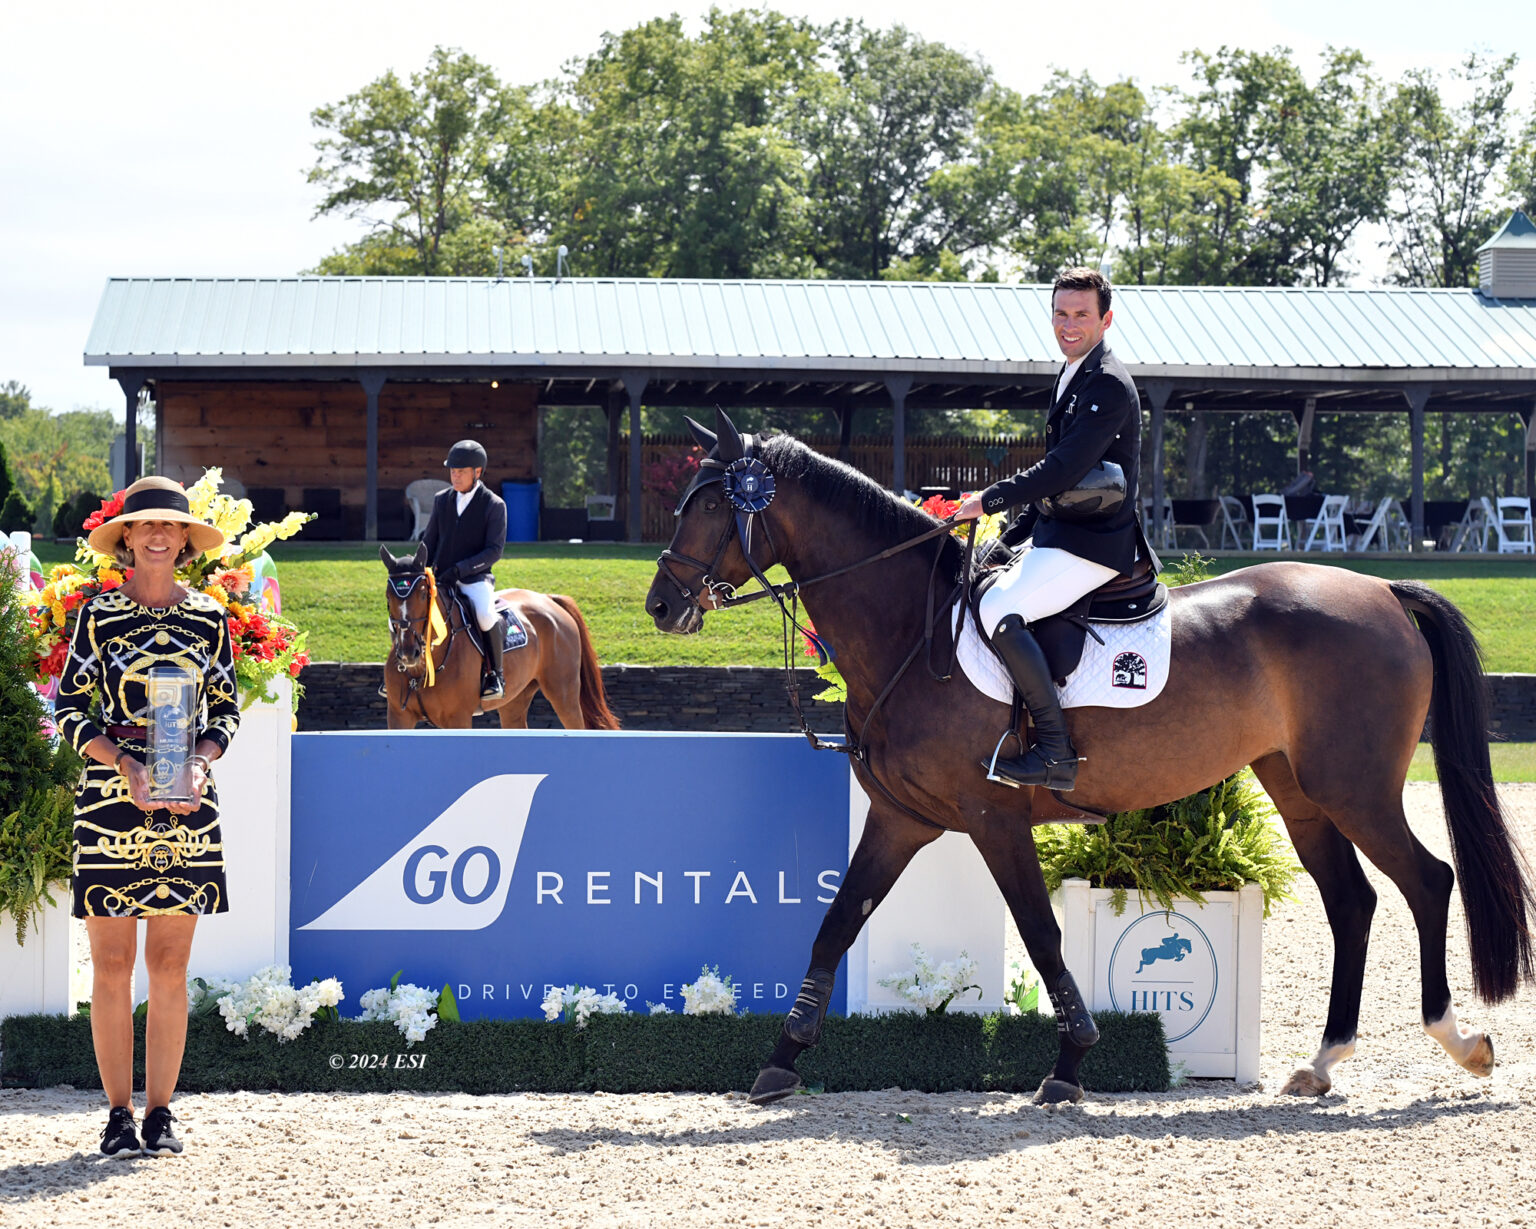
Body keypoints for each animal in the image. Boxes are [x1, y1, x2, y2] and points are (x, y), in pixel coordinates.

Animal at [380, 543, 619, 731]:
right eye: (388, 596)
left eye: (423, 594)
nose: (408, 653)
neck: (422, 668)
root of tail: (548, 599)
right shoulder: (399, 717)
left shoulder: (458, 718)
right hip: (515, 699)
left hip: (564, 694)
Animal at [645, 409, 1535, 1106]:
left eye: (712, 504)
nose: (661, 604)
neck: (912, 632)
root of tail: (1382, 590)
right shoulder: (901, 819)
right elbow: (835, 924)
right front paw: (780, 1061)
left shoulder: (993, 816)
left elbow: (1042, 935)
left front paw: (1070, 1066)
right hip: (1298, 787)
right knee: (1351, 898)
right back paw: (1322, 1062)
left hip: (1356, 786)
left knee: (1427, 880)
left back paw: (1460, 1042)